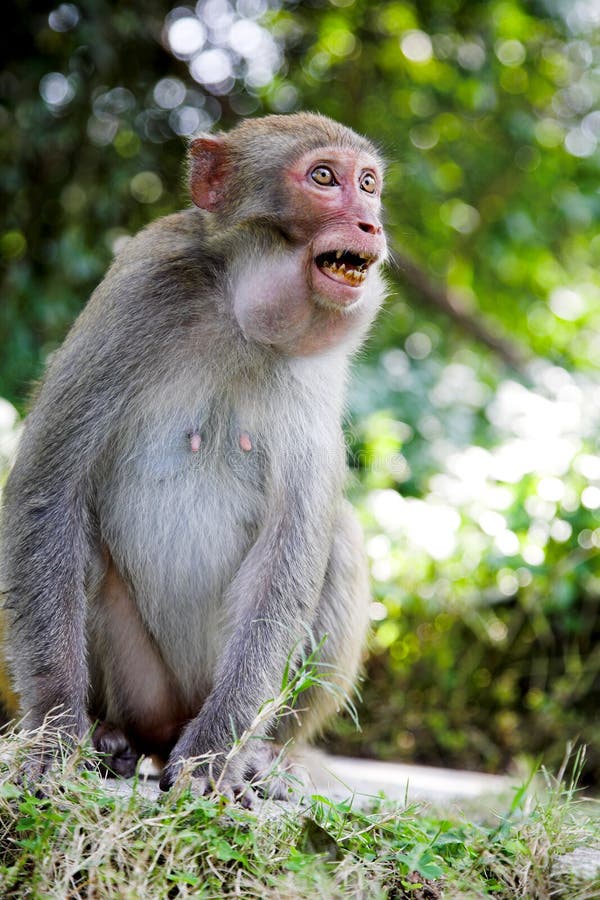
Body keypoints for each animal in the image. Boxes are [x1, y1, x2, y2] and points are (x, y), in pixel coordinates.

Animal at [0, 112, 387, 797]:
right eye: (323, 177)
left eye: (368, 184)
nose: (371, 222)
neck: (239, 315)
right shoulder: (140, 288)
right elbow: (50, 490)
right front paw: (53, 730)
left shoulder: (316, 375)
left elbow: (288, 553)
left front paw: (213, 755)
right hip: (144, 687)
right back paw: (110, 736)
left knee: (338, 536)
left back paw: (266, 754)